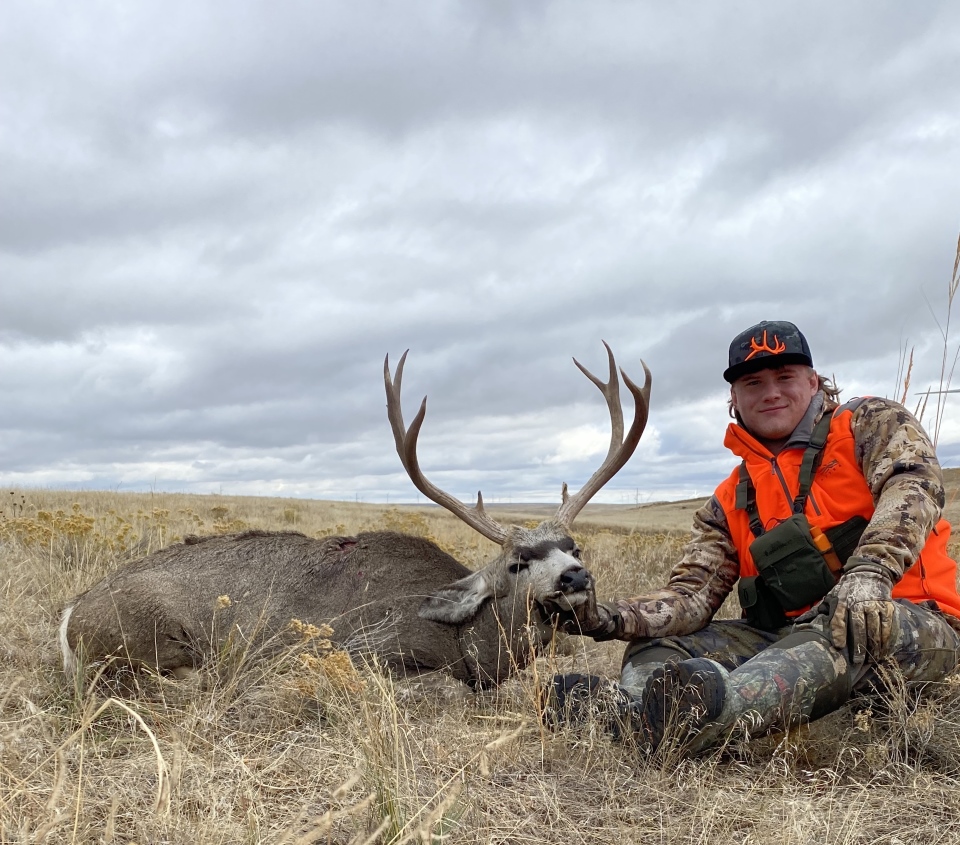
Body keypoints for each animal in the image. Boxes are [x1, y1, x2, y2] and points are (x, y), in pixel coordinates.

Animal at [59, 343, 651, 687]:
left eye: (574, 547)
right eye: (516, 563)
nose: (575, 577)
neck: (470, 640)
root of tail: (69, 616)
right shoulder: (365, 650)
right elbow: (445, 685)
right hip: (148, 635)